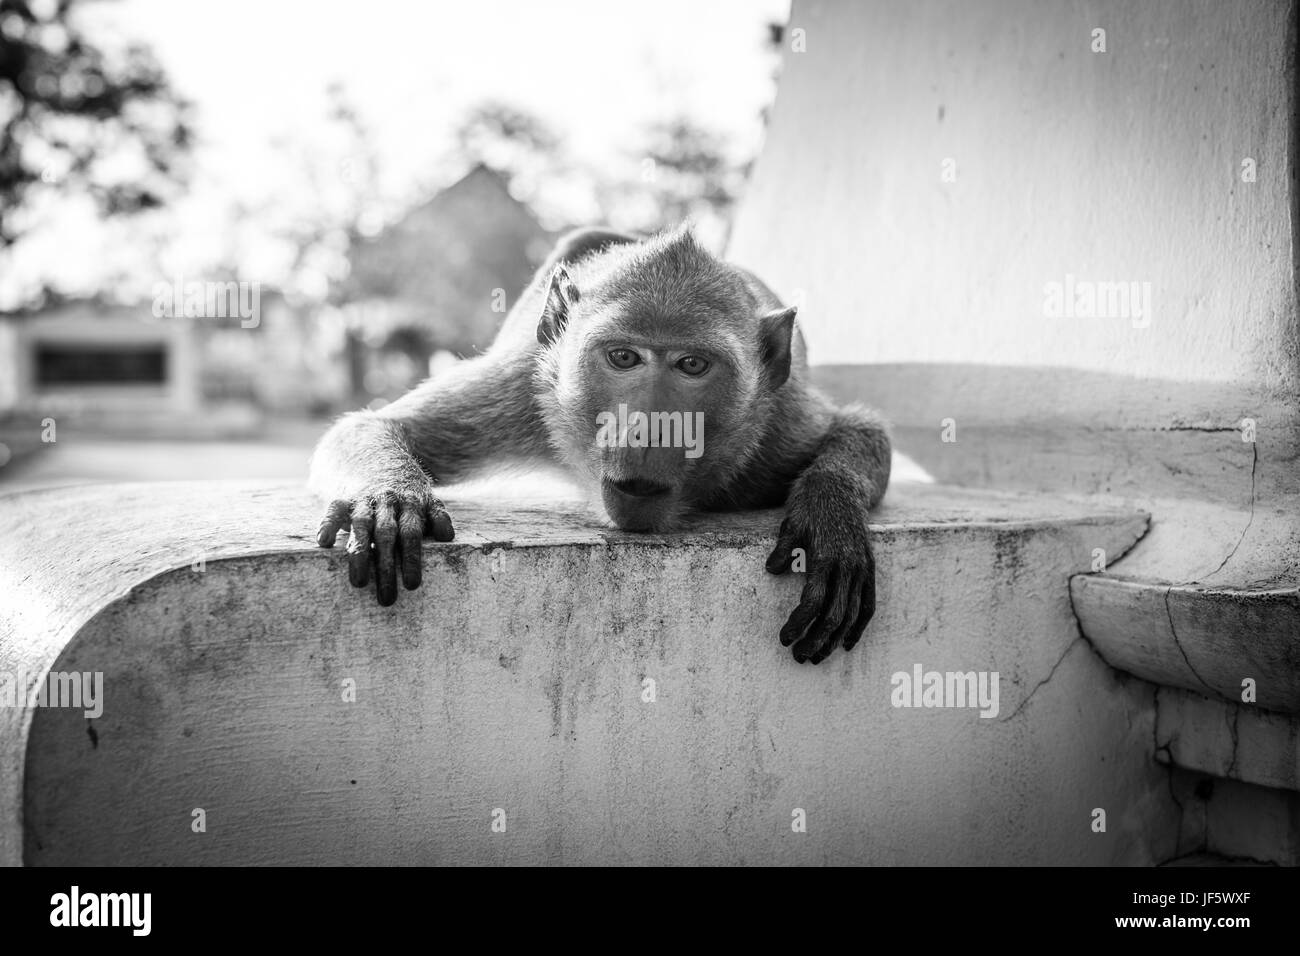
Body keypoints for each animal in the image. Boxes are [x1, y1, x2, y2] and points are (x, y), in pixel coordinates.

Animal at [309, 226, 891, 664]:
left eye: (692, 365)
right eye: (624, 358)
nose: (650, 427)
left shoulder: (775, 420)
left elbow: (864, 430)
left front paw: (830, 513)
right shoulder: (524, 386)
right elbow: (375, 426)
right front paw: (389, 498)